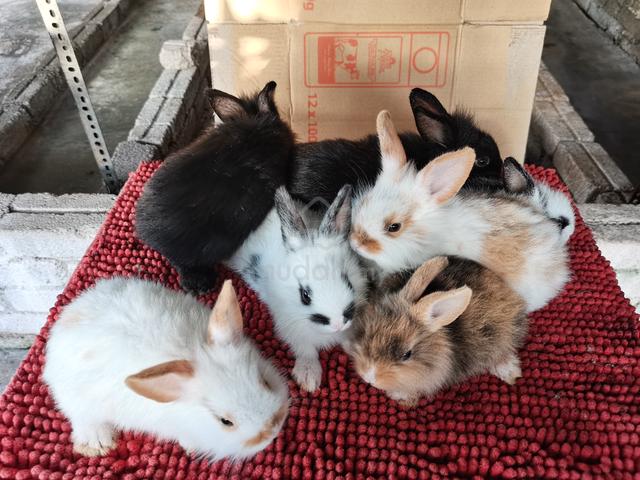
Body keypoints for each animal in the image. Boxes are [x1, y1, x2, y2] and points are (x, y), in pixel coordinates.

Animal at [43, 278, 290, 460]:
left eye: (265, 381)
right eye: (225, 422)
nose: (272, 430)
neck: (191, 352)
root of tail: (70, 312)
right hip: (80, 402)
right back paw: (97, 443)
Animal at [225, 185, 367, 392]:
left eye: (347, 280)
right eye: (305, 295)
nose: (338, 323)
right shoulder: (291, 328)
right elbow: (306, 350)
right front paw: (308, 377)